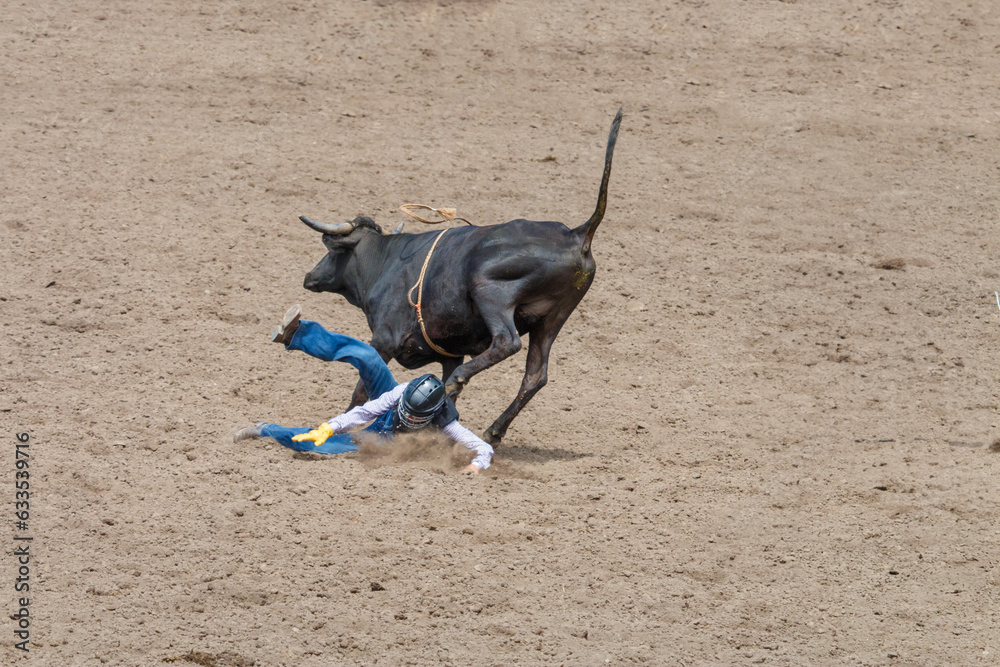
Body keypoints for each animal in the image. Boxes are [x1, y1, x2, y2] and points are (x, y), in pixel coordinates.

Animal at [299, 108, 622, 445]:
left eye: (333, 251)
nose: (310, 276)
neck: (385, 263)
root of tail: (576, 234)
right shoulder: (449, 353)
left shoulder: (384, 341)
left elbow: (362, 391)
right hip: (553, 317)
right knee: (535, 374)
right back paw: (493, 430)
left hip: (490, 290)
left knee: (506, 342)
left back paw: (460, 382)